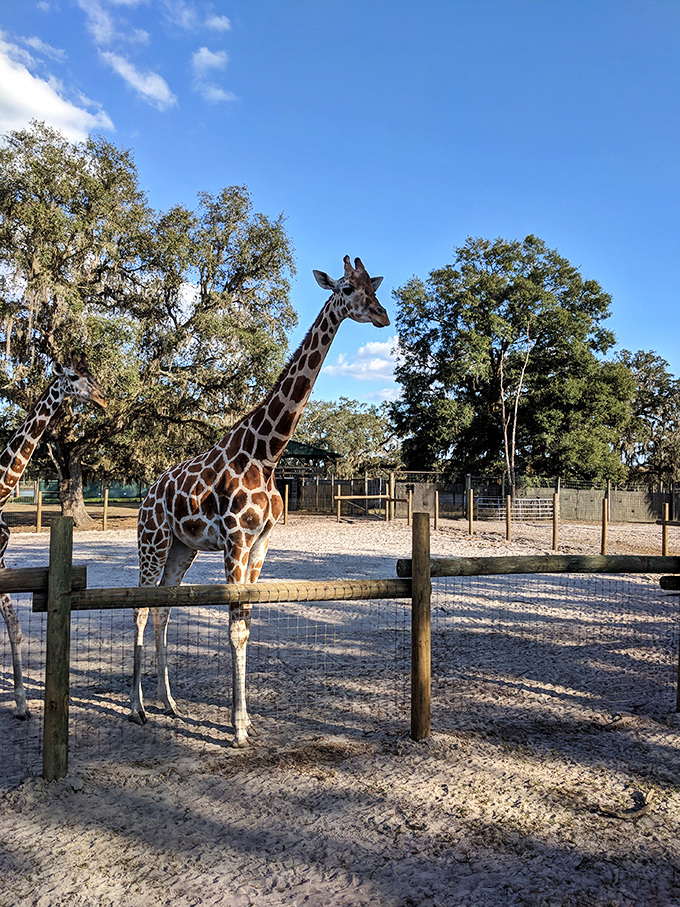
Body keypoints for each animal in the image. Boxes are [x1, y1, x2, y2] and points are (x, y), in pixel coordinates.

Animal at [134, 255, 389, 743]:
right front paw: (237, 729)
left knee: (162, 610)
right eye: (347, 288)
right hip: (151, 542)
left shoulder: (261, 542)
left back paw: (168, 703)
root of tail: (145, 497)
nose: (383, 315)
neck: (266, 455)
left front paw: (248, 720)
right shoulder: (235, 539)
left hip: (181, 548)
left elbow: (248, 624)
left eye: (375, 287)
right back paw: (138, 707)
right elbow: (235, 628)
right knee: (139, 608)